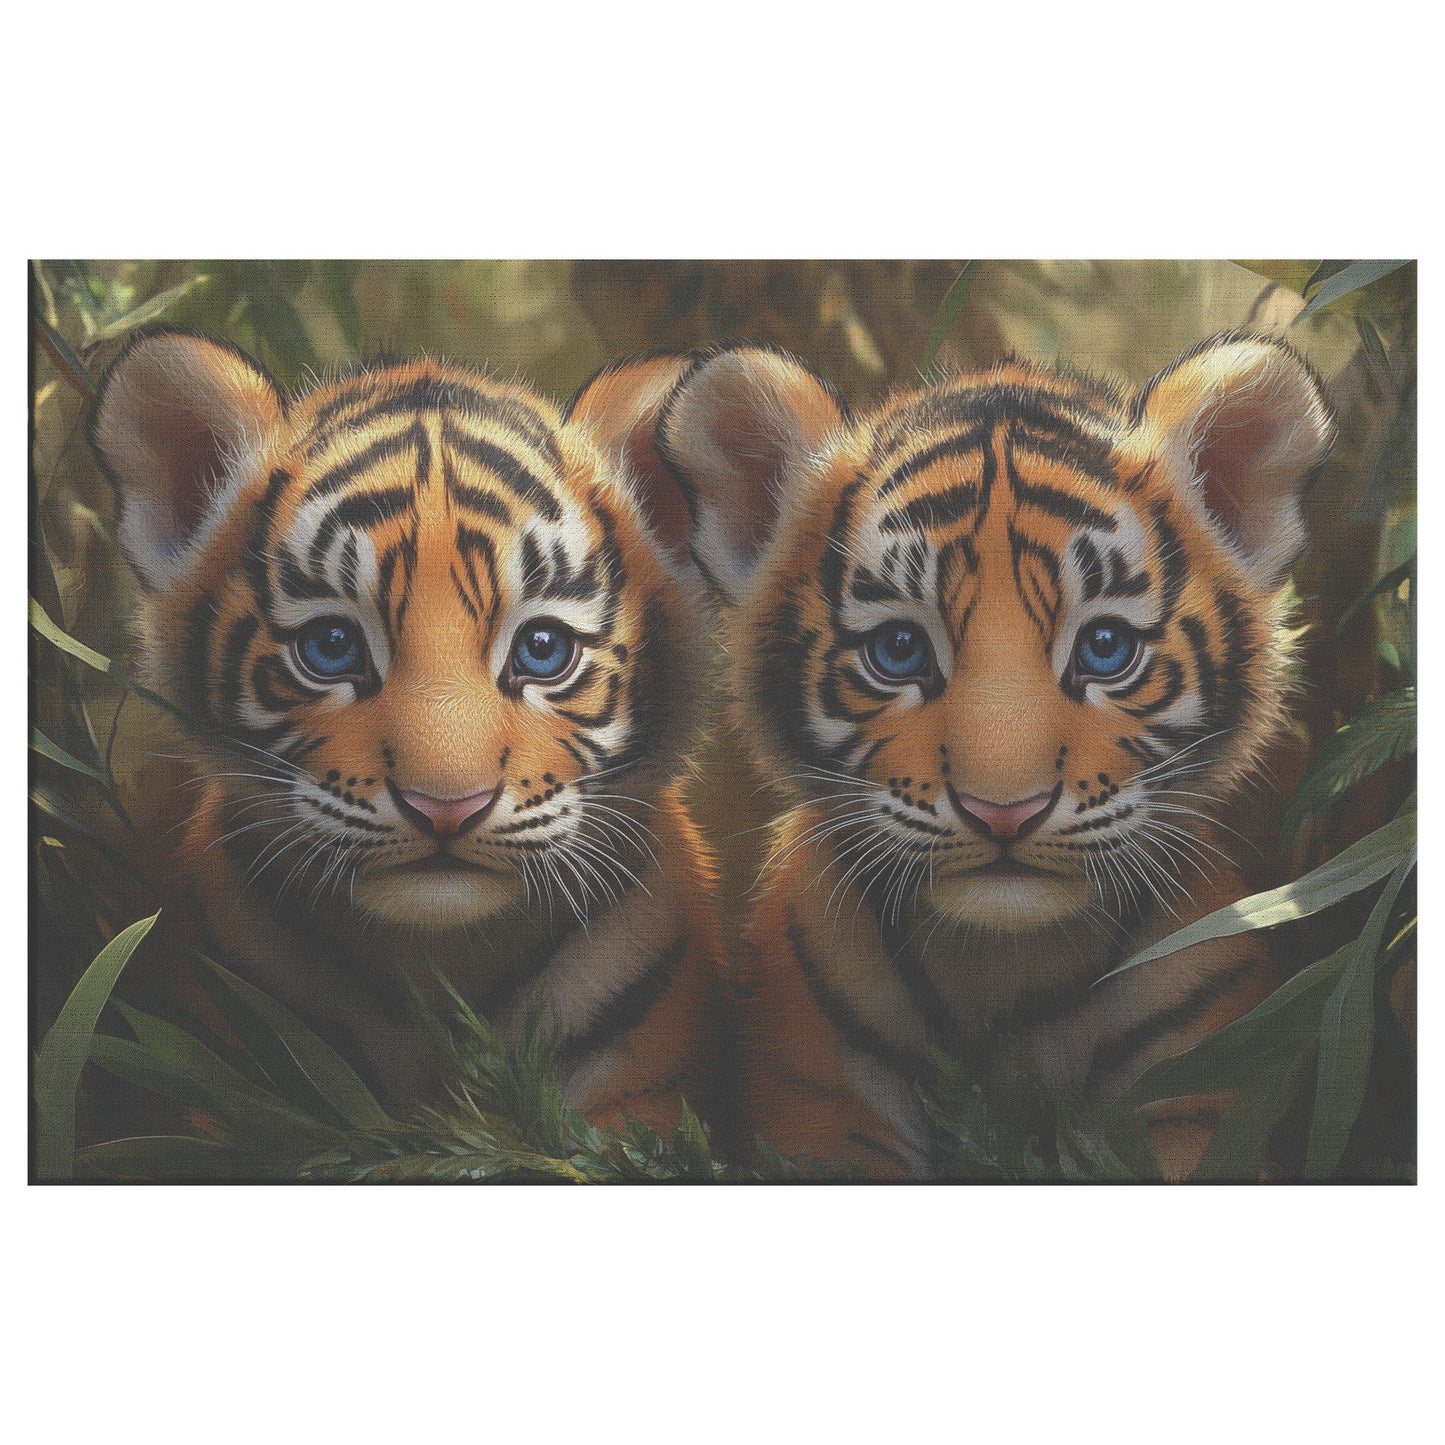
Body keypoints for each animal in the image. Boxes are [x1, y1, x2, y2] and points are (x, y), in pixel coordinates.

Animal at [618, 332, 1334, 1179]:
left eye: (1104, 647)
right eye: (897, 650)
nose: (1003, 811)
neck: (1001, 964)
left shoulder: (1198, 1078)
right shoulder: (822, 1091)